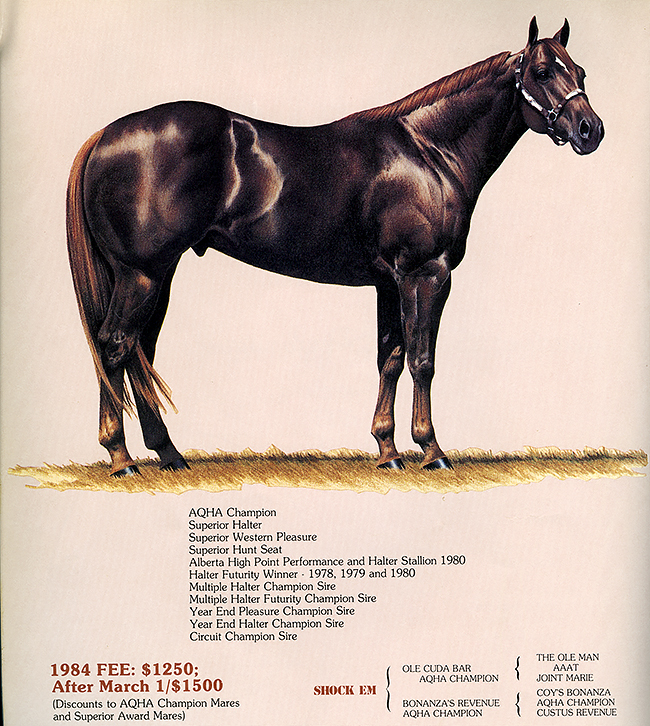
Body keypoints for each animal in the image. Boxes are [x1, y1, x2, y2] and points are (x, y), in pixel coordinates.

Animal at [67, 17, 603, 477]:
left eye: (578, 71)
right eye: (542, 71)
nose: (590, 130)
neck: (427, 151)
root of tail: (104, 136)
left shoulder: (390, 282)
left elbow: (390, 358)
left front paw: (388, 451)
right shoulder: (426, 274)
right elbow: (423, 360)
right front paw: (431, 450)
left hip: (156, 275)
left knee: (138, 352)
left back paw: (169, 455)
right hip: (141, 274)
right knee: (114, 346)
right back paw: (122, 458)